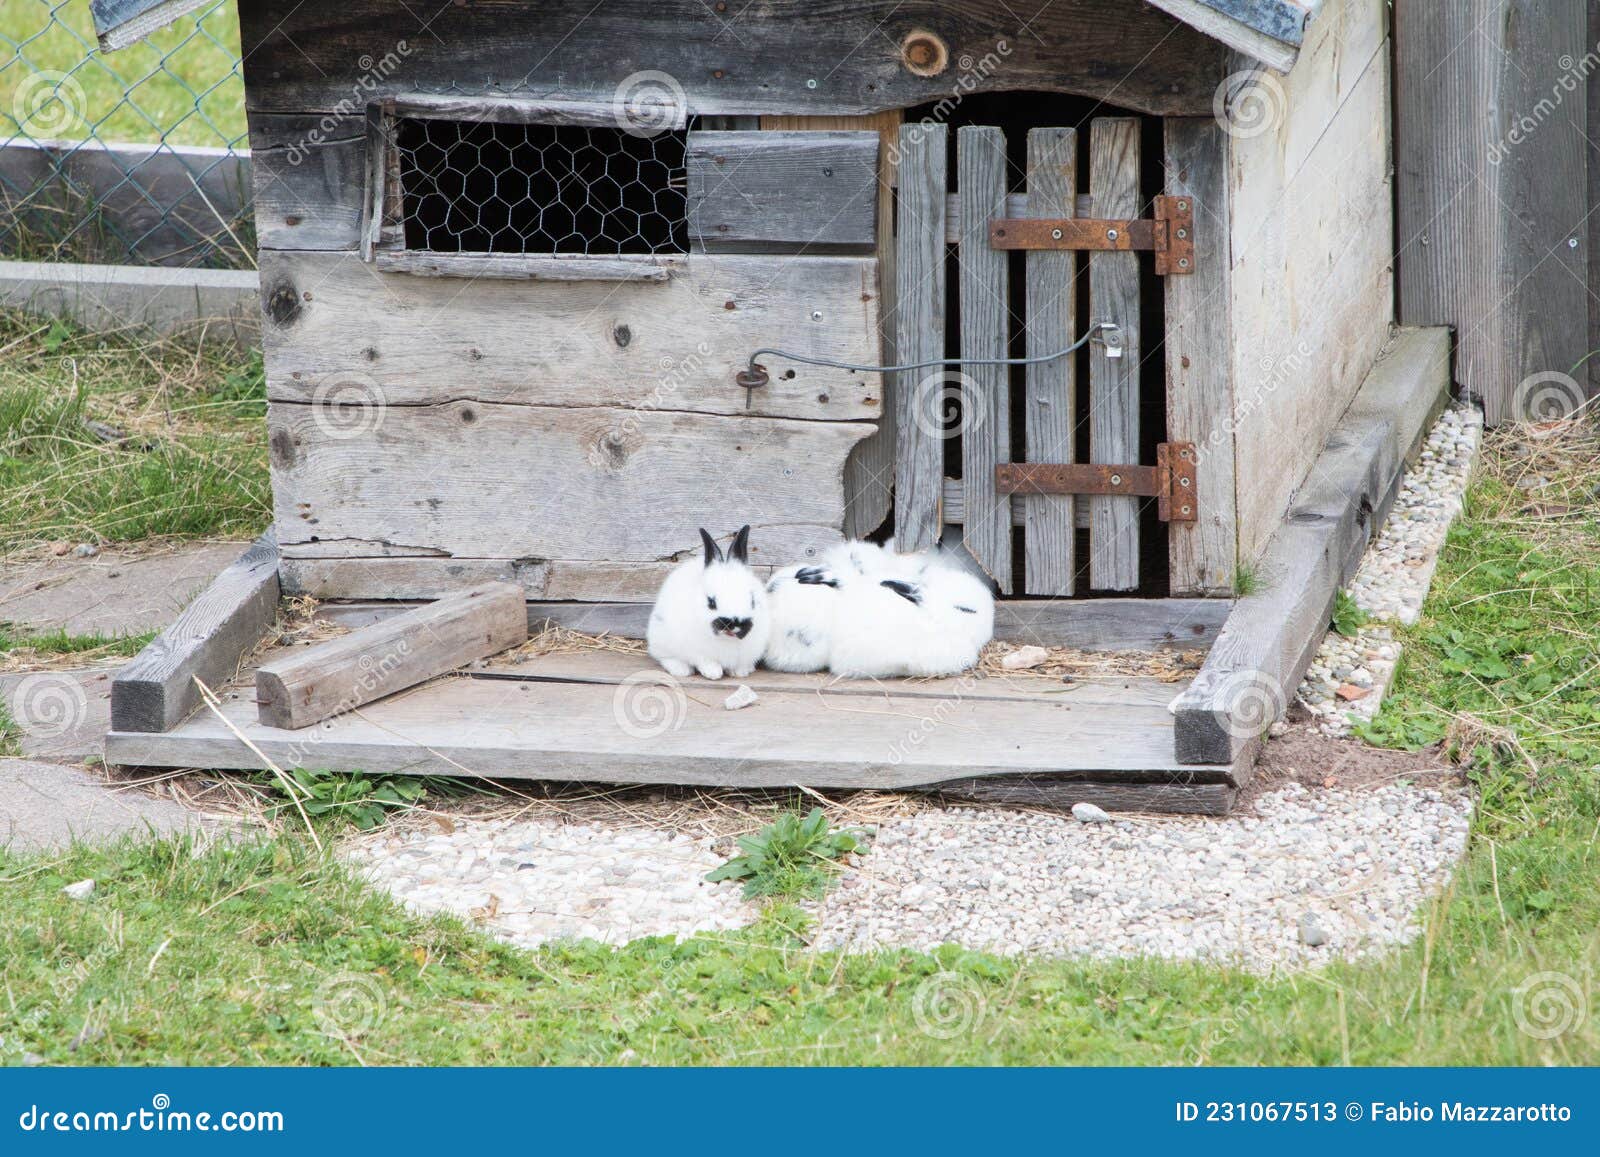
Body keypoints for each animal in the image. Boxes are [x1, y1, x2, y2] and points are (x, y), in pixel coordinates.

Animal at [647, 525, 770, 681]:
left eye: (753, 601)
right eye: (711, 603)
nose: (734, 624)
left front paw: (740, 672)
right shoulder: (697, 652)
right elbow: (706, 662)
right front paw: (713, 673)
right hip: (661, 639)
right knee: (666, 658)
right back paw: (682, 670)